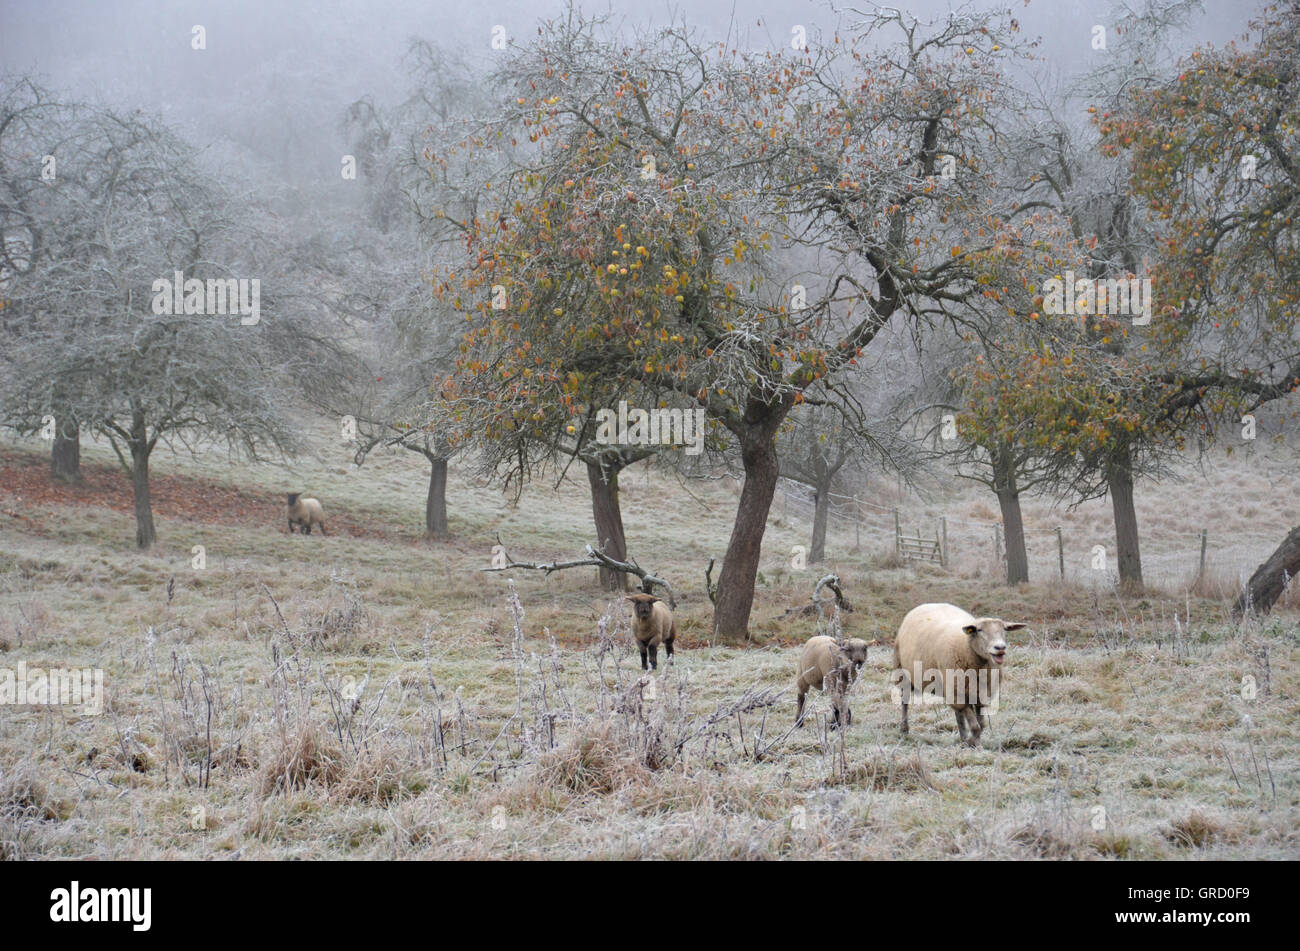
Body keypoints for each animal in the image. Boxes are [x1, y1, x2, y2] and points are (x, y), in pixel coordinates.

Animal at [892, 602, 1024, 747]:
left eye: (1004, 629)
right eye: (979, 630)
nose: (1000, 648)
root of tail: (928, 604)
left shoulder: (980, 694)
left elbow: (981, 724)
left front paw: (974, 742)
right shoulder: (959, 694)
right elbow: (975, 726)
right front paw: (973, 743)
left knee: (958, 714)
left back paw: (963, 738)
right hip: (903, 672)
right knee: (905, 701)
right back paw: (904, 730)